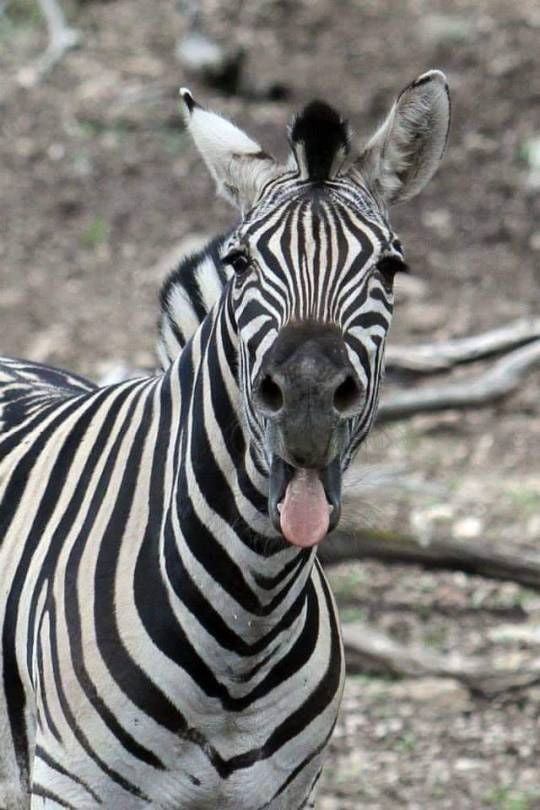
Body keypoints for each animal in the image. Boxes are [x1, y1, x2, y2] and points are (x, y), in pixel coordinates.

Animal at [0, 69, 450, 809]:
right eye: (241, 262)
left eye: (389, 268)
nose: (307, 397)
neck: (248, 625)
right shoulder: (70, 787)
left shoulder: (284, 794)